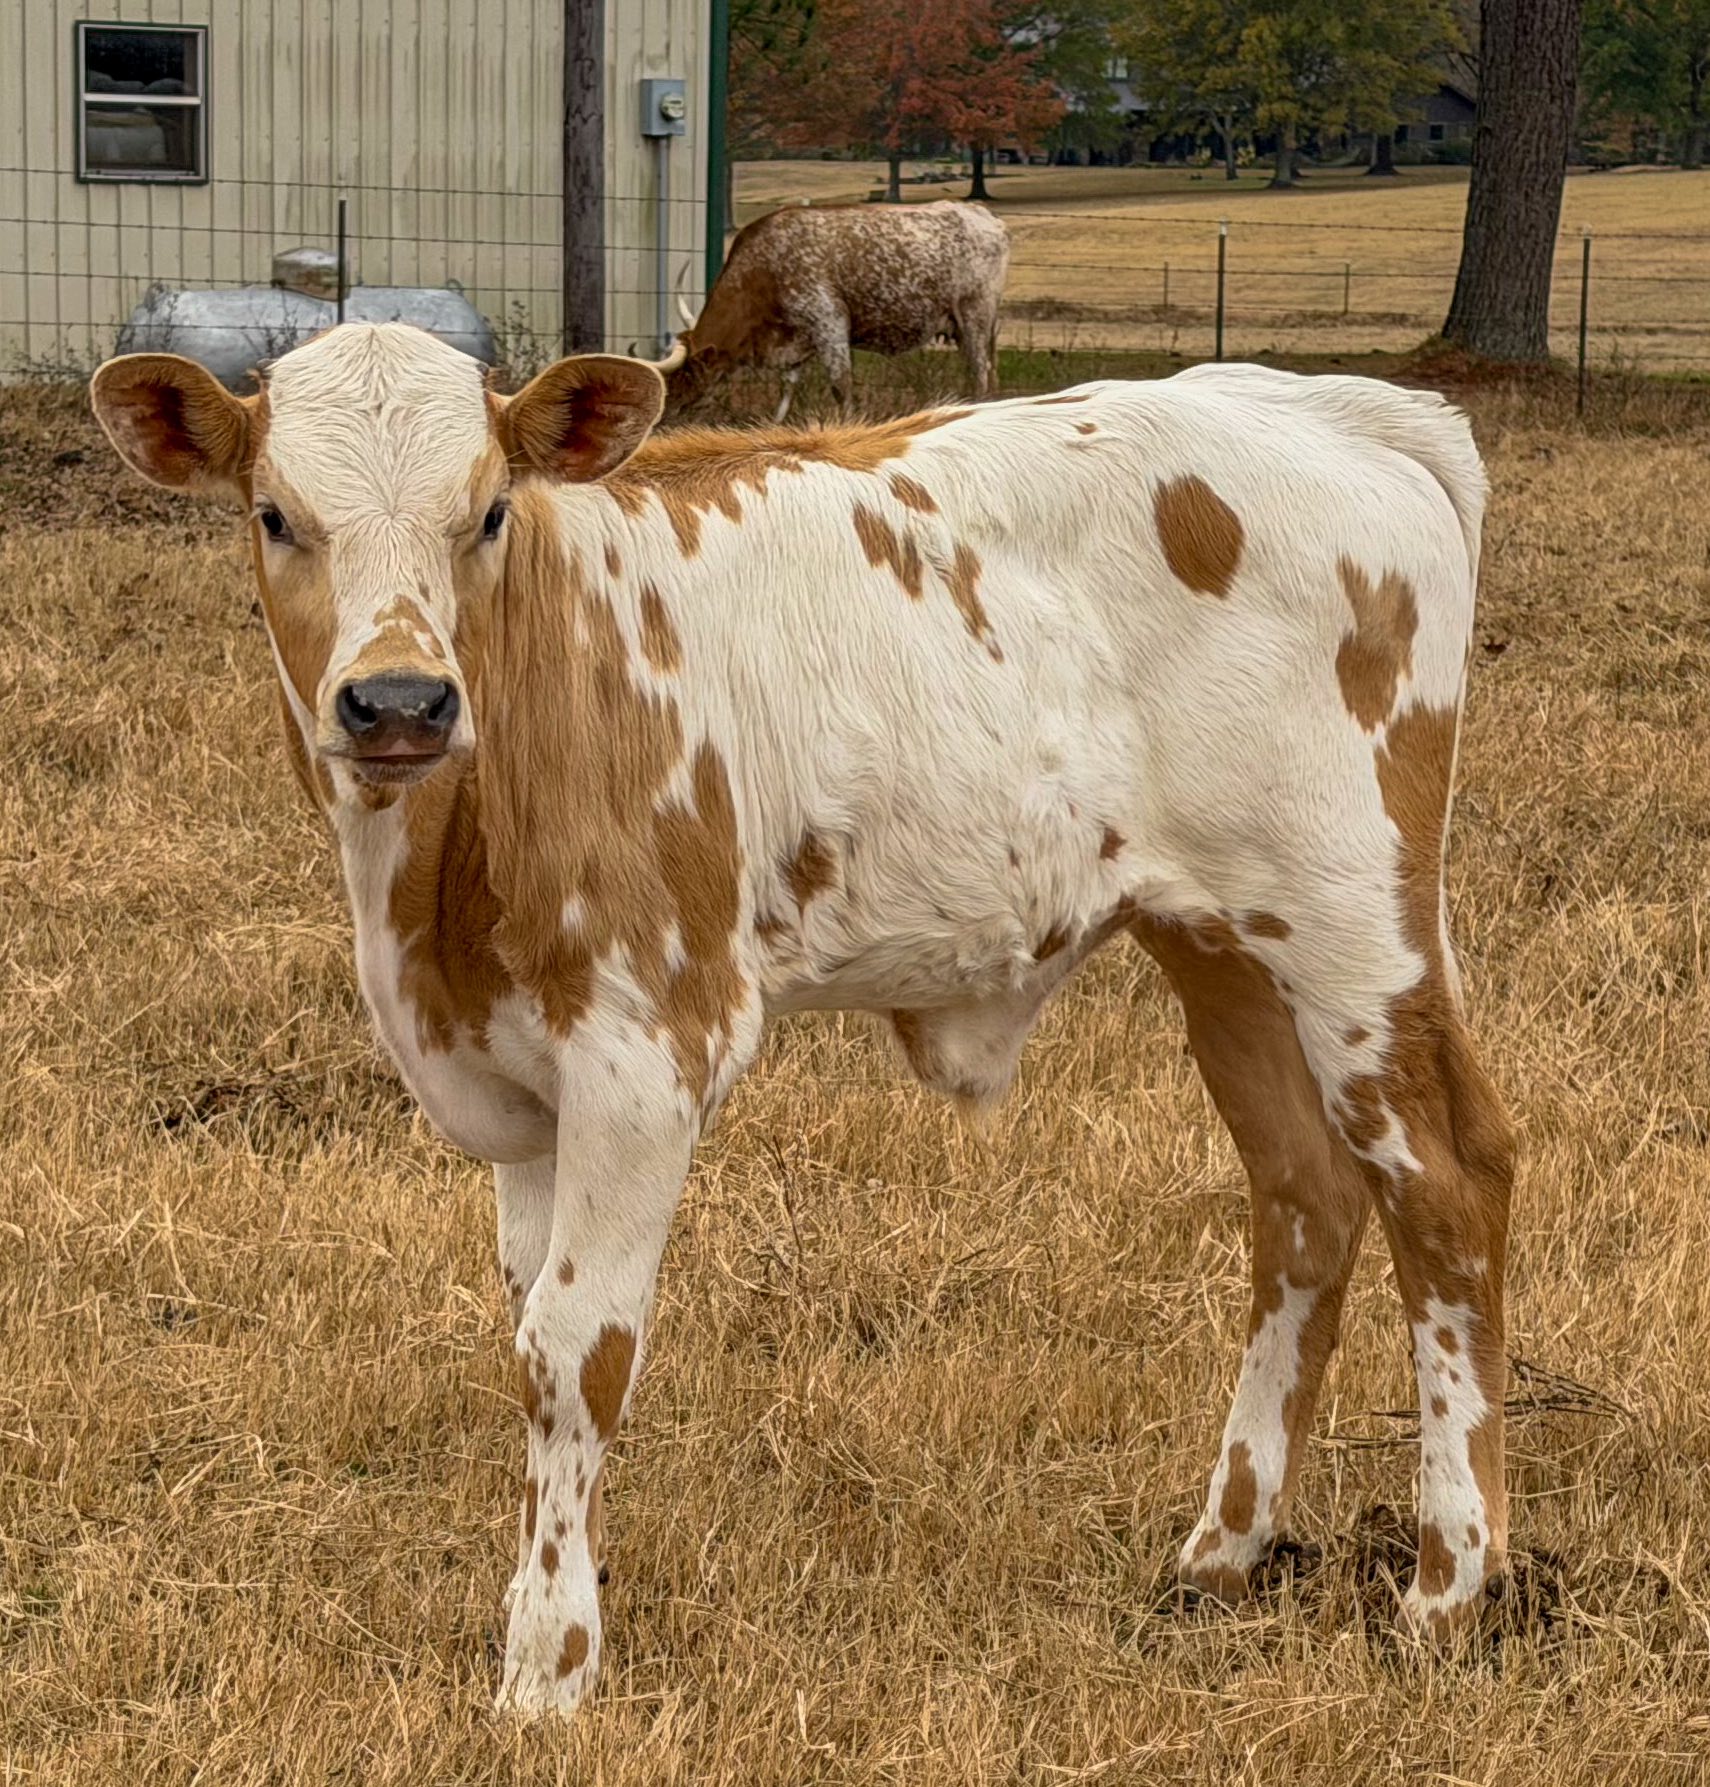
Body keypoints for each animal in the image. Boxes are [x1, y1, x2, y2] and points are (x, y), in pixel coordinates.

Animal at [91, 323, 1514, 1718]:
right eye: (276, 515)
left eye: (487, 511)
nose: (398, 702)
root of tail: (1329, 407)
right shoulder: (522, 1084)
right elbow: (529, 1321)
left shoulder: (645, 1050)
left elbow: (574, 1347)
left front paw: (549, 1661)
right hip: (1223, 946)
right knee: (1305, 1199)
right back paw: (1226, 1547)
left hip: (1355, 928)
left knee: (1448, 1186)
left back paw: (1449, 1584)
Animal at [666, 199, 1010, 419]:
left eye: (687, 371)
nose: (668, 410)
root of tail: (985, 216)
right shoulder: (795, 347)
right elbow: (785, 397)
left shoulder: (829, 323)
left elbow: (841, 388)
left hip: (975, 318)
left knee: (981, 375)